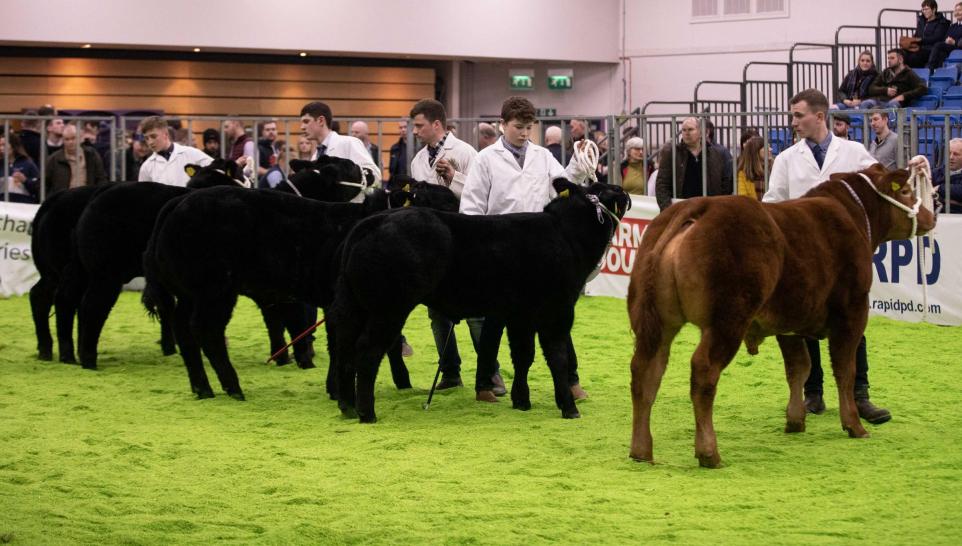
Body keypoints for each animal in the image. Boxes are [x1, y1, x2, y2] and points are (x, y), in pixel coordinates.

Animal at [329, 180, 630, 423]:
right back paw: (367, 413)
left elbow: (523, 356)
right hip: (389, 307)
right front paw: (569, 408)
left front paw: (522, 401)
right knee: (367, 350)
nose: (624, 191)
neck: (565, 236)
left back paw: (347, 406)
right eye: (608, 189)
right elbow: (558, 358)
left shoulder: (520, 315)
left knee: (344, 346)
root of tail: (372, 222)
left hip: (354, 305)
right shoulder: (557, 310)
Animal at [627, 163, 937, 468]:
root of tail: (700, 205)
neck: (853, 216)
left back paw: (641, 449)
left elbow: (799, 367)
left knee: (645, 370)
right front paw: (854, 425)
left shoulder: (789, 322)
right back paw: (708, 452)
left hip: (655, 320)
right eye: (906, 191)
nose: (930, 217)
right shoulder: (852, 310)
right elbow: (844, 369)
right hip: (727, 318)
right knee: (703, 370)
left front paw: (795, 420)